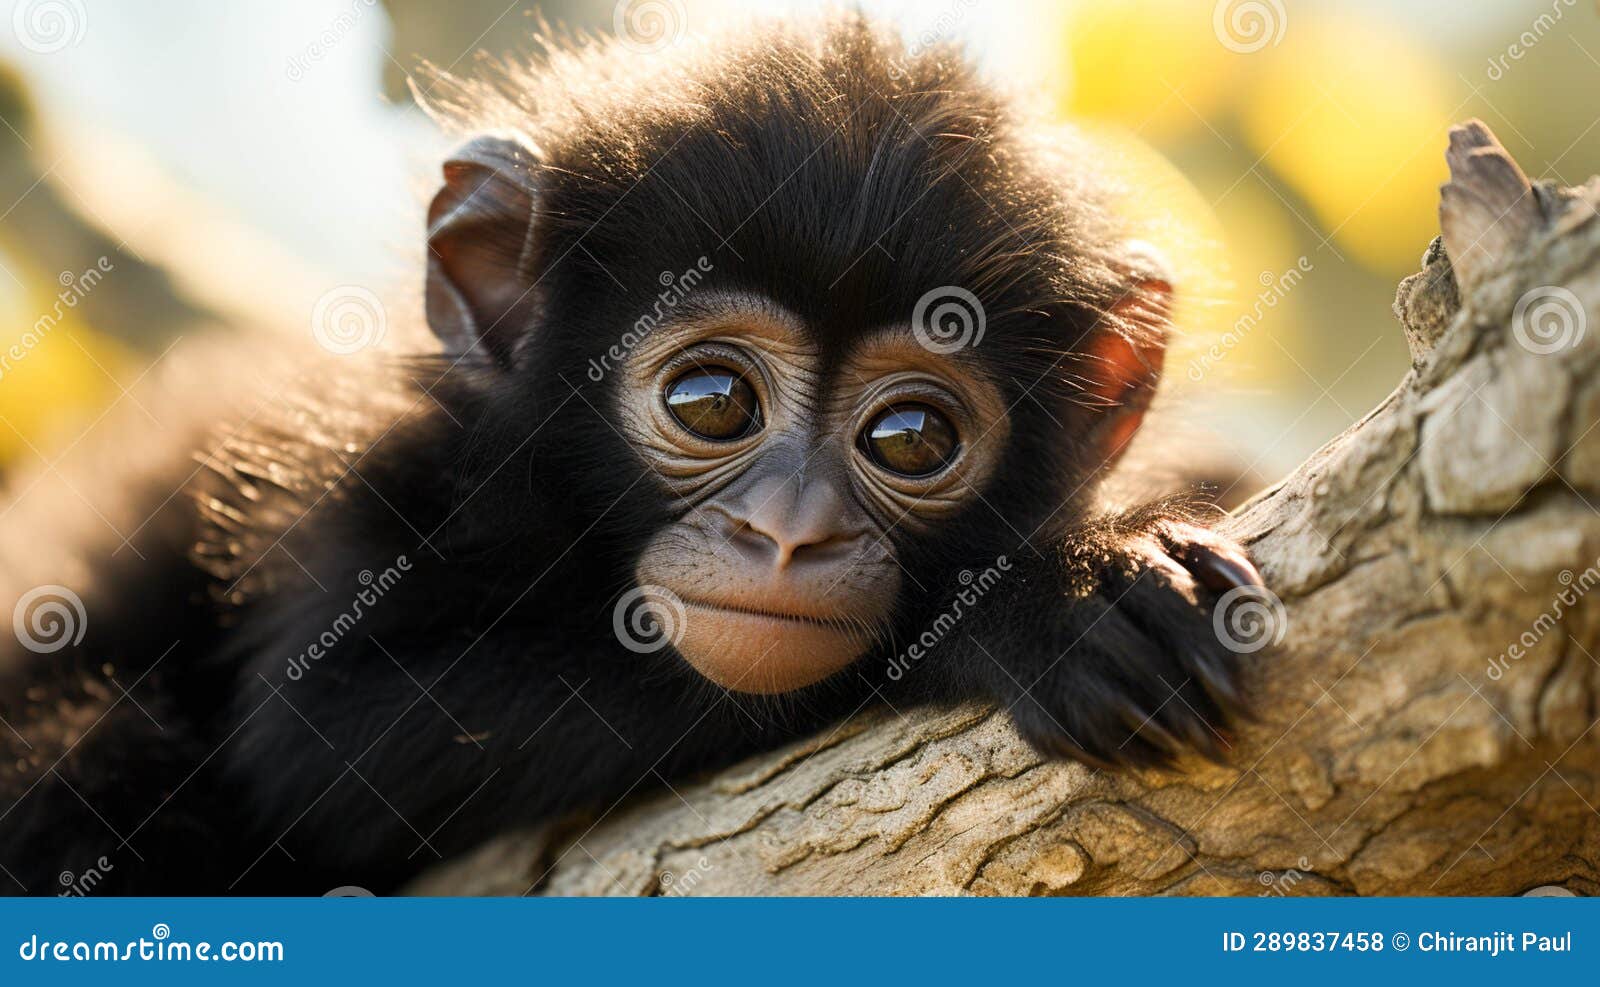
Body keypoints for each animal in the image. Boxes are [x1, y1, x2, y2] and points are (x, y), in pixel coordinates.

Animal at [0, 15, 1263, 896]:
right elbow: (324, 740)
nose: (789, 532)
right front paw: (1042, 606)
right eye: (711, 402)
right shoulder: (383, 491)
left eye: (913, 437)